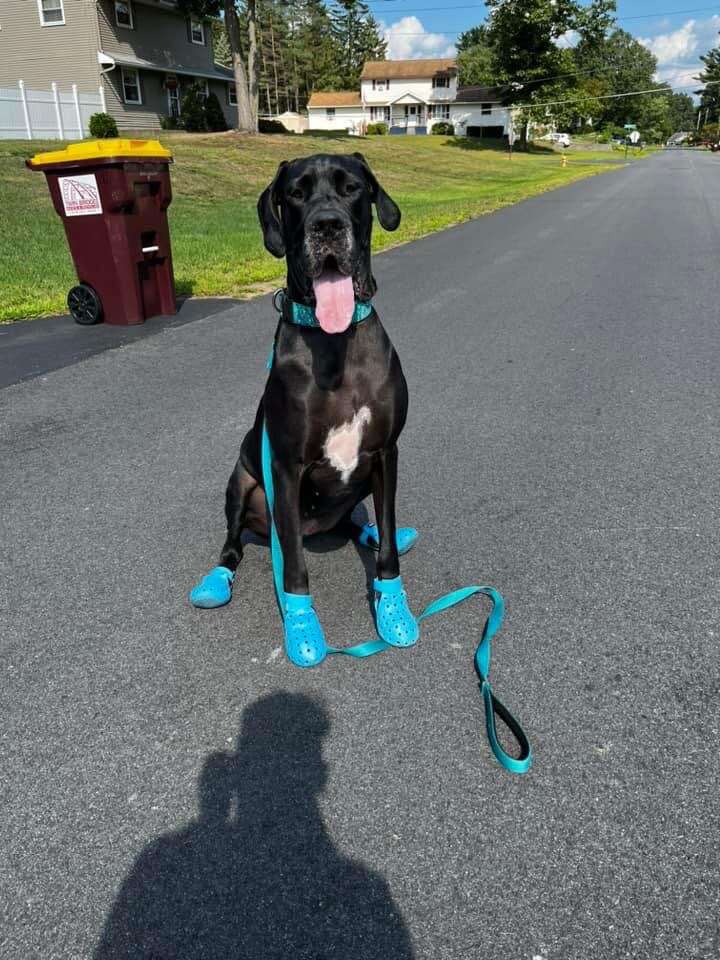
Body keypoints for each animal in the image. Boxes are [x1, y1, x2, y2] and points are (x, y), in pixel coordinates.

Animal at [188, 154, 420, 668]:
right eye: (295, 194)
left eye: (353, 188)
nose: (327, 225)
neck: (334, 340)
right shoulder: (286, 466)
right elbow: (292, 565)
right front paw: (302, 627)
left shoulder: (386, 452)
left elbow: (387, 536)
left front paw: (393, 607)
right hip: (242, 481)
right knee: (233, 544)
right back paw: (217, 579)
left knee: (362, 522)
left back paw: (370, 532)